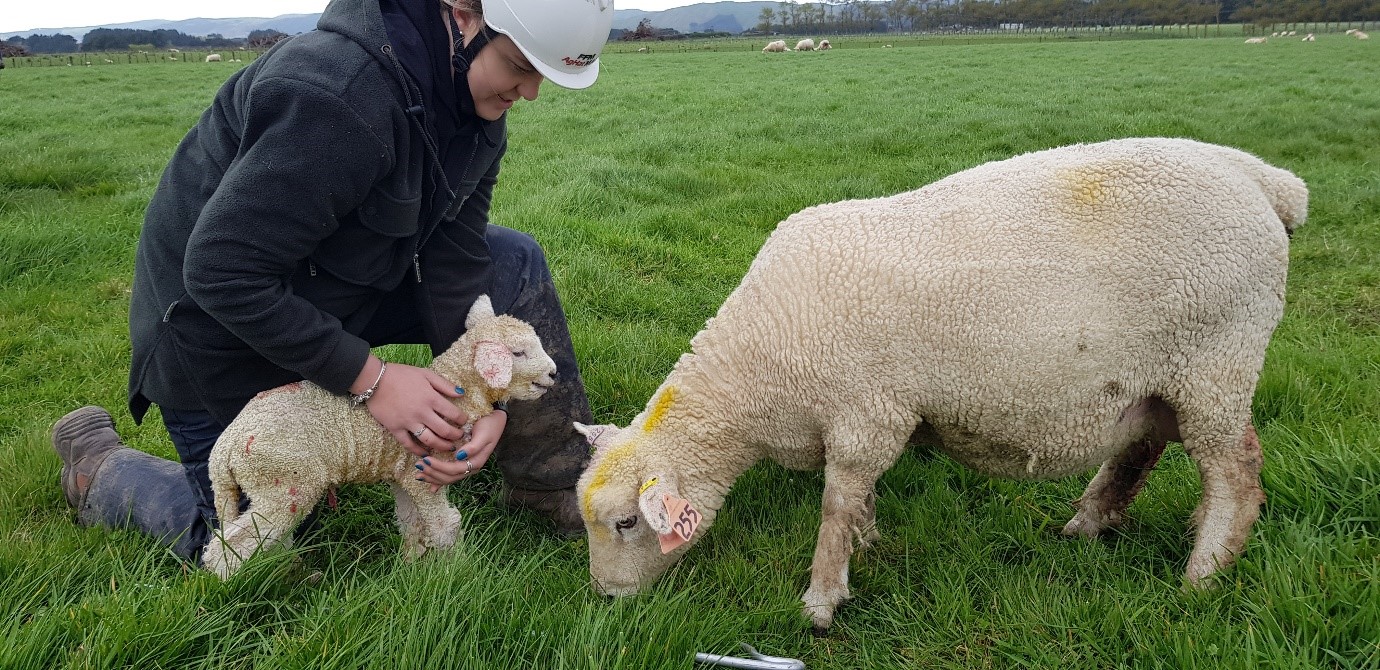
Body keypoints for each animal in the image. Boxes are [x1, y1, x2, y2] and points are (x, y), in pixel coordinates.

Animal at [201, 295, 558, 579]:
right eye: (518, 353)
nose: (554, 373)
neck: (458, 390)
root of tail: (222, 452)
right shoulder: (426, 469)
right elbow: (446, 524)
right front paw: (457, 570)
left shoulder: (405, 473)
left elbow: (411, 521)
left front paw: (413, 564)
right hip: (283, 481)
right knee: (230, 545)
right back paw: (237, 588)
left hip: (267, 486)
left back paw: (288, 571)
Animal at [576, 138, 1307, 631]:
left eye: (625, 522)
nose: (606, 598)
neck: (753, 378)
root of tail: (1262, 179)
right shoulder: (863, 421)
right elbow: (857, 499)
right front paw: (867, 541)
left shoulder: (867, 414)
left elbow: (835, 505)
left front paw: (821, 601)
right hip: (1165, 375)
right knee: (1143, 448)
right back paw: (1092, 524)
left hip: (1219, 359)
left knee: (1236, 477)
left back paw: (1202, 576)